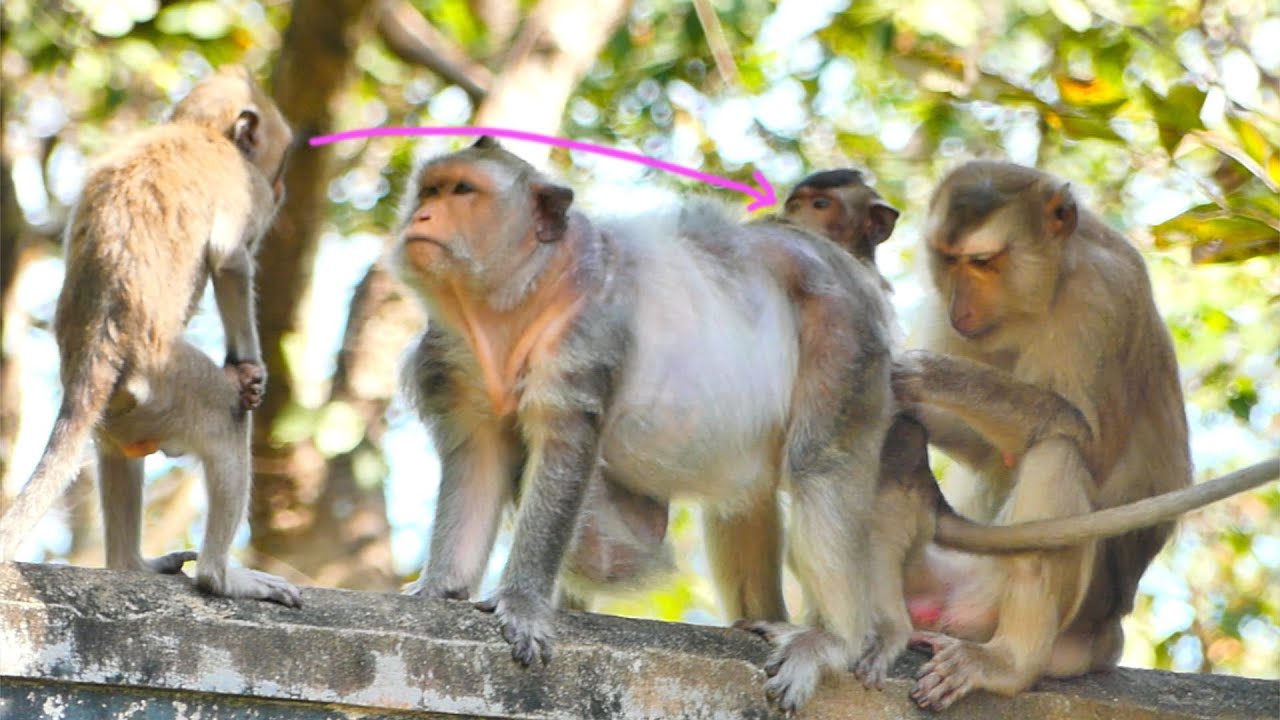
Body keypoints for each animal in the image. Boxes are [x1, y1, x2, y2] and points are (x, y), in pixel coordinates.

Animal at [0, 66, 301, 608]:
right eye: (279, 161)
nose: (283, 186)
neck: (197, 132)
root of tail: (95, 356)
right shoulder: (244, 189)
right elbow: (230, 261)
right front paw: (250, 367)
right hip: (168, 384)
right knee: (227, 419)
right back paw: (220, 577)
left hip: (126, 406)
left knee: (116, 450)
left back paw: (130, 564)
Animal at [395, 136, 894, 711]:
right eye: (430, 190)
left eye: (462, 191)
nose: (422, 215)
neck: (522, 297)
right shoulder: (456, 356)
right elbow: (480, 456)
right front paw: (439, 589)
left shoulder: (584, 337)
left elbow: (564, 453)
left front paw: (522, 603)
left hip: (843, 337)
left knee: (818, 461)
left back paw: (833, 641)